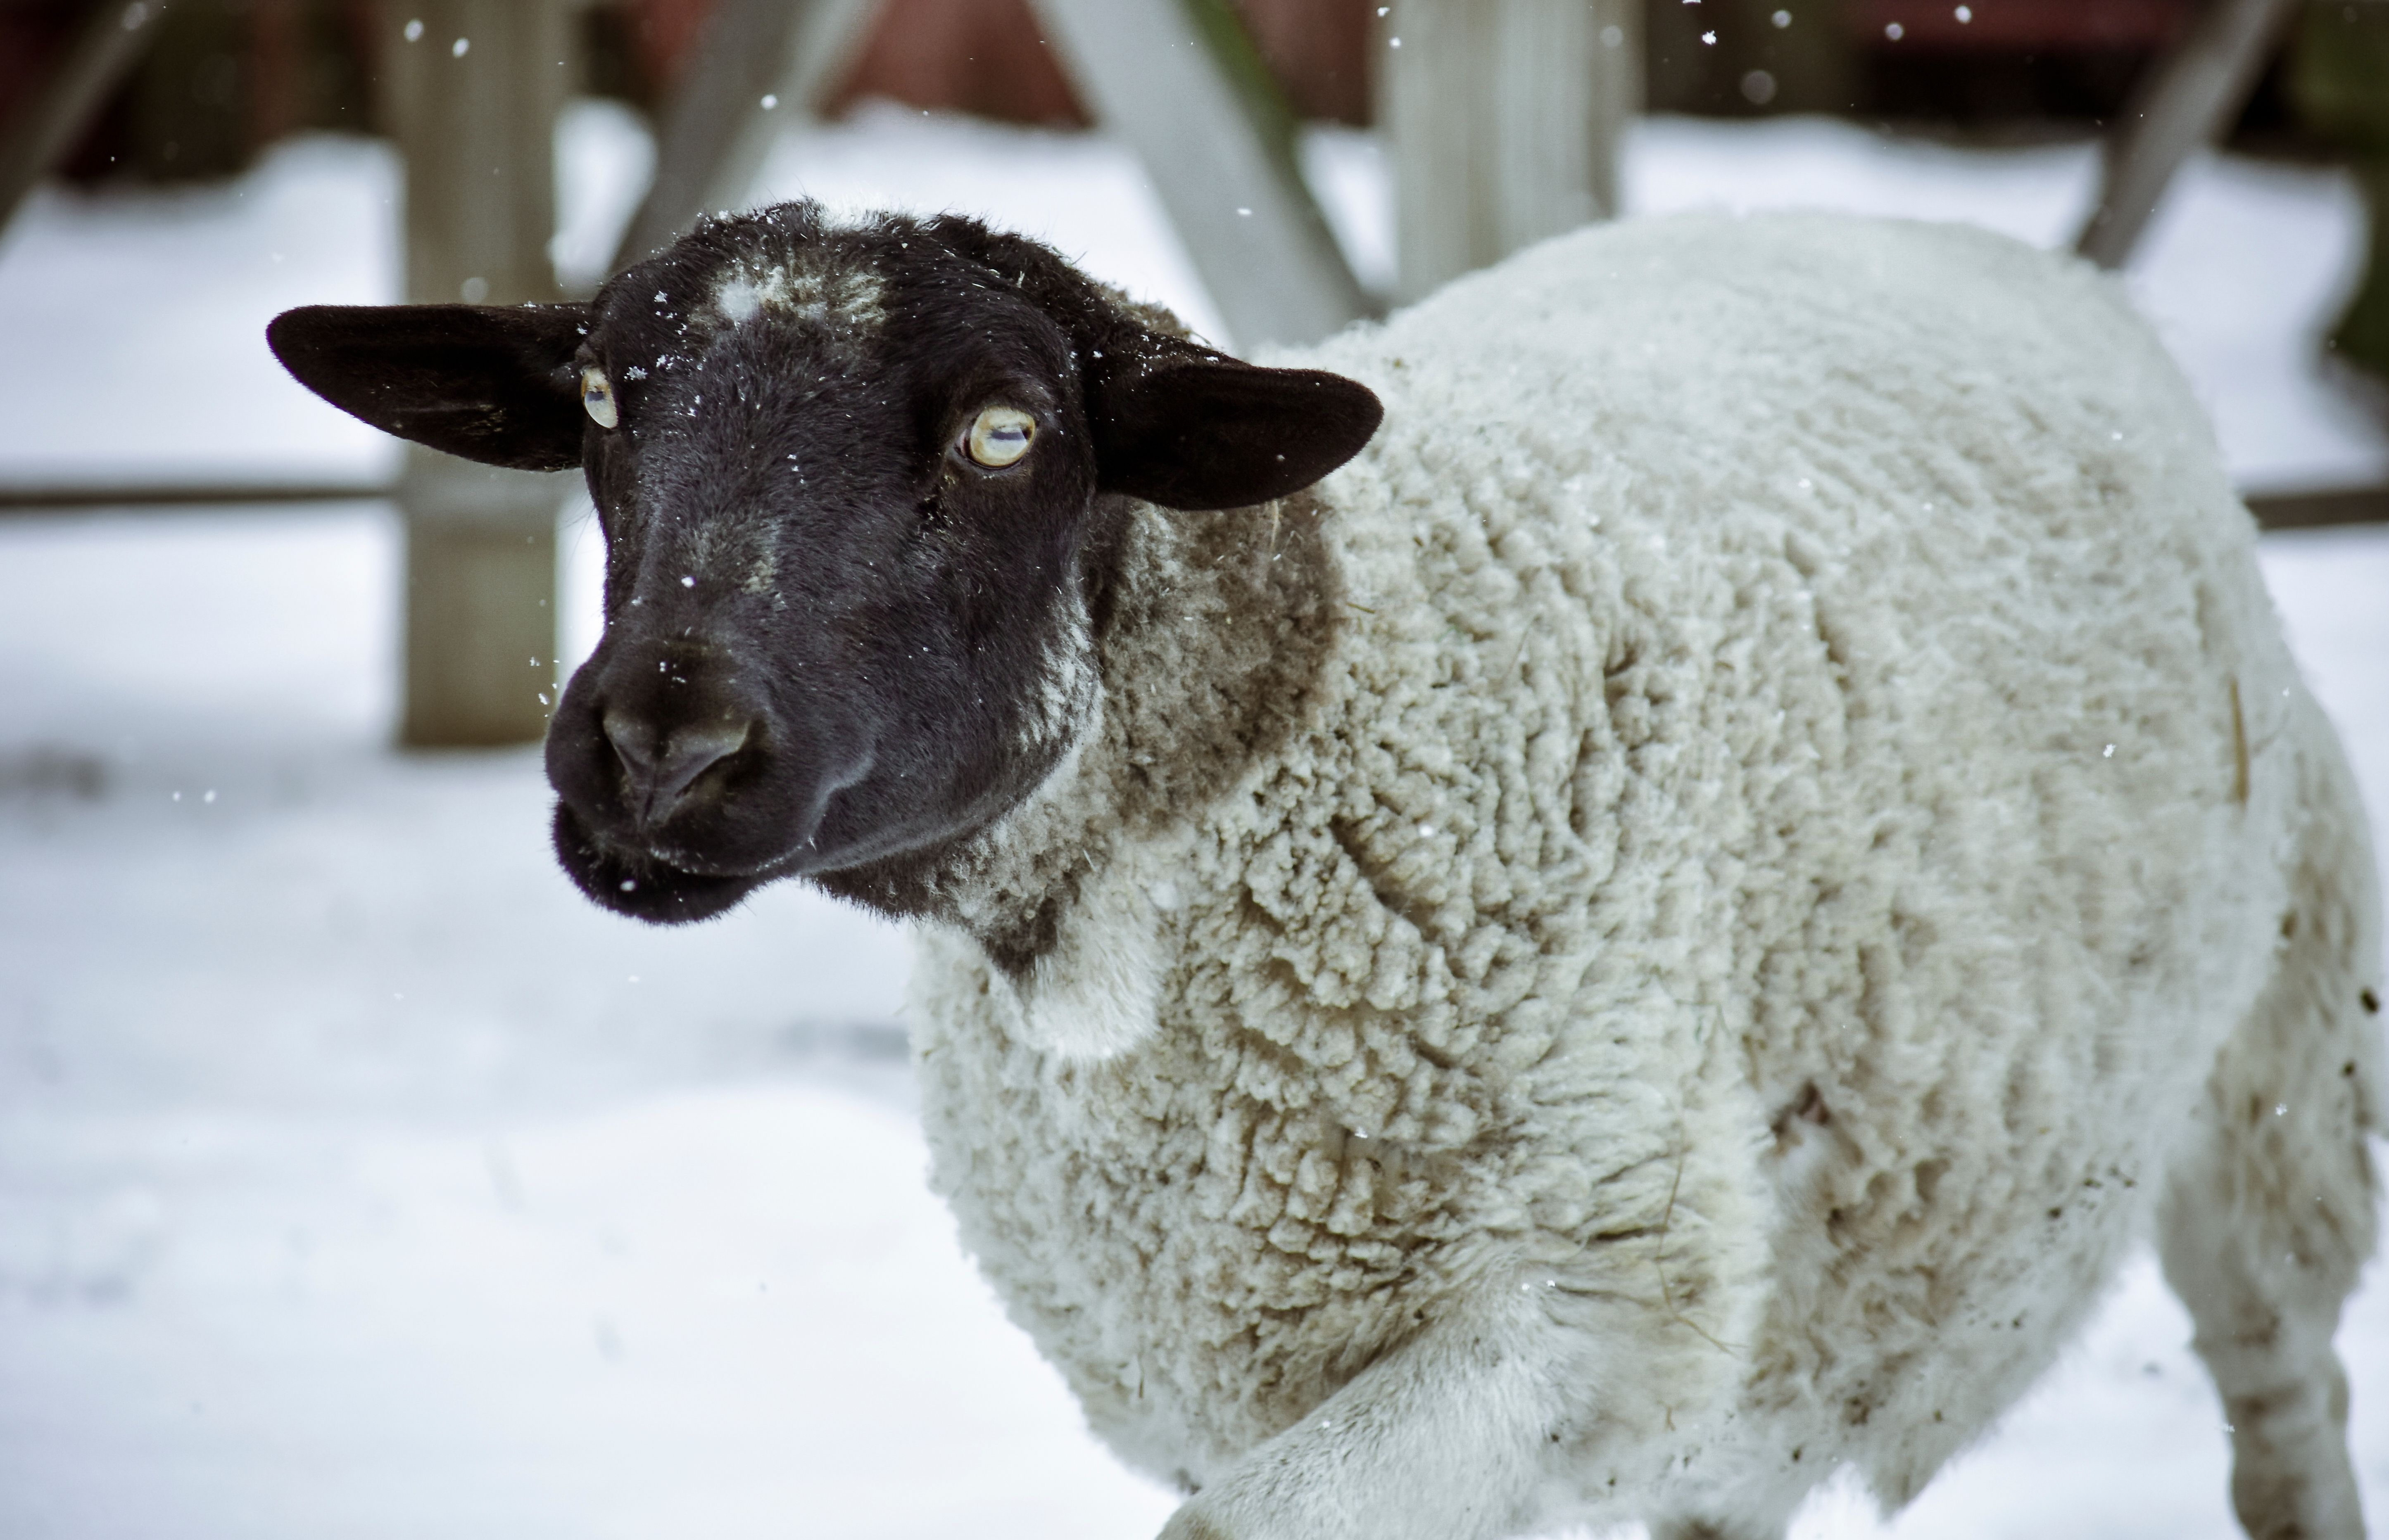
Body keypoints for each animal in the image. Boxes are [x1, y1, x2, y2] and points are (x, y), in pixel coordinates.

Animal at [268, 200, 2382, 1540]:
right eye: (603, 410)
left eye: (1007, 432)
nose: (657, 746)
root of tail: (2009, 253)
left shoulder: (1568, 1306)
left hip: (2277, 1065)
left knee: (2280, 1392)